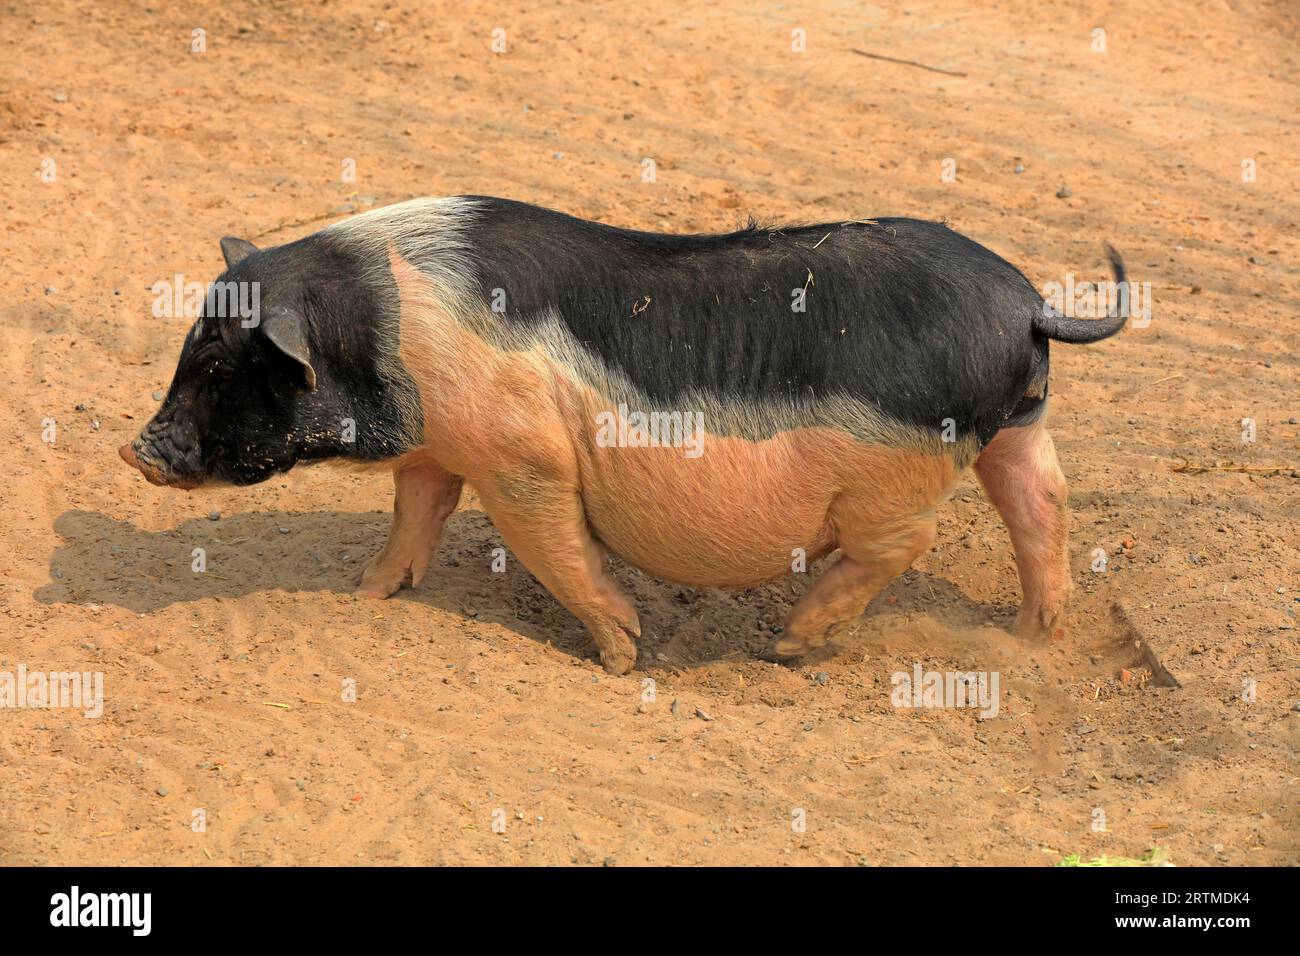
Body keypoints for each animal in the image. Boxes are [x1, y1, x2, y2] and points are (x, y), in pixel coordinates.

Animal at [121, 197, 1130, 674]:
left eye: (220, 368)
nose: (136, 449)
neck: (380, 328)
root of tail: (1027, 302)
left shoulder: (520, 456)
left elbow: (551, 540)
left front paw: (620, 656)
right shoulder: (442, 446)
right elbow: (415, 513)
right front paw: (363, 598)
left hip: (901, 474)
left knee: (909, 538)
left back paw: (790, 646)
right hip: (1019, 425)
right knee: (1044, 503)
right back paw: (1033, 640)